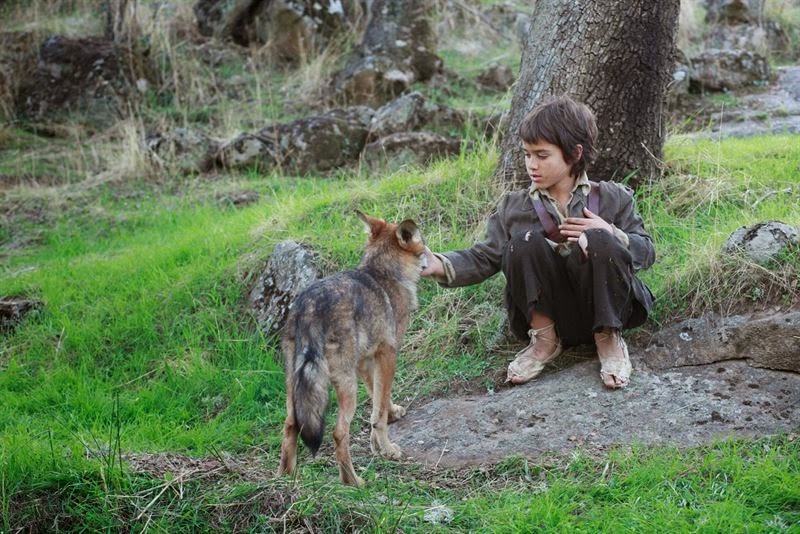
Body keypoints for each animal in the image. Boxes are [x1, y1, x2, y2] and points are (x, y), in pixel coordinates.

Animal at [277, 210, 427, 486]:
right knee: (338, 432)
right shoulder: (388, 354)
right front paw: (388, 450)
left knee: (290, 424)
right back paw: (353, 483)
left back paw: (286, 479)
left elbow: (378, 398)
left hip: (294, 384)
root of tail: (309, 307)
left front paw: (390, 418)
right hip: (346, 388)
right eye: (422, 243)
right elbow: (378, 413)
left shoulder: (366, 361)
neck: (385, 273)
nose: (431, 256)